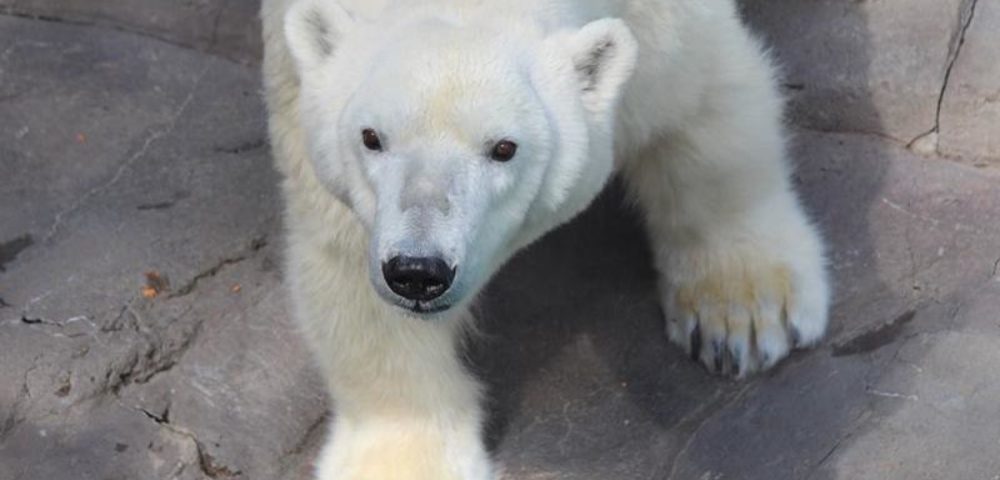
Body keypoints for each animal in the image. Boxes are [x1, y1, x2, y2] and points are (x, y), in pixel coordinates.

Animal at [260, 0, 830, 478]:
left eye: (504, 148)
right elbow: (344, 254)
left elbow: (706, 102)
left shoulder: (667, 22)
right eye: (371, 137)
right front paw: (405, 462)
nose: (418, 273)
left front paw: (745, 318)